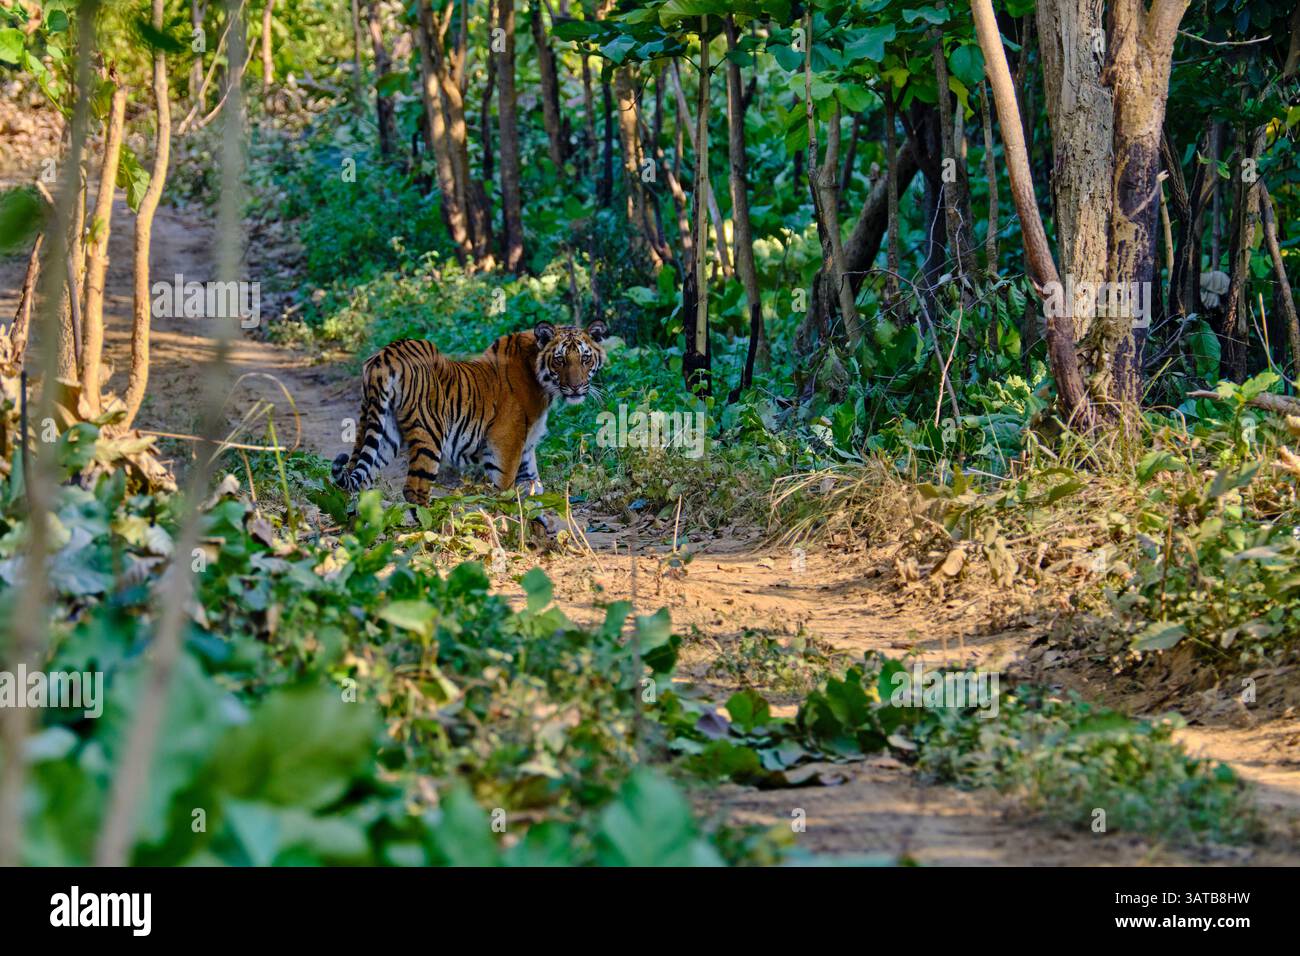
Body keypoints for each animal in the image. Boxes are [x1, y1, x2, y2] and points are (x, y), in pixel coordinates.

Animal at [331, 319, 608, 507]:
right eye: (560, 360)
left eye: (585, 358)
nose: (576, 387)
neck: (540, 379)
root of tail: (384, 355)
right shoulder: (504, 447)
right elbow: (505, 493)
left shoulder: (526, 448)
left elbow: (533, 487)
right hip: (430, 434)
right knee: (414, 489)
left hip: (380, 430)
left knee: (360, 479)